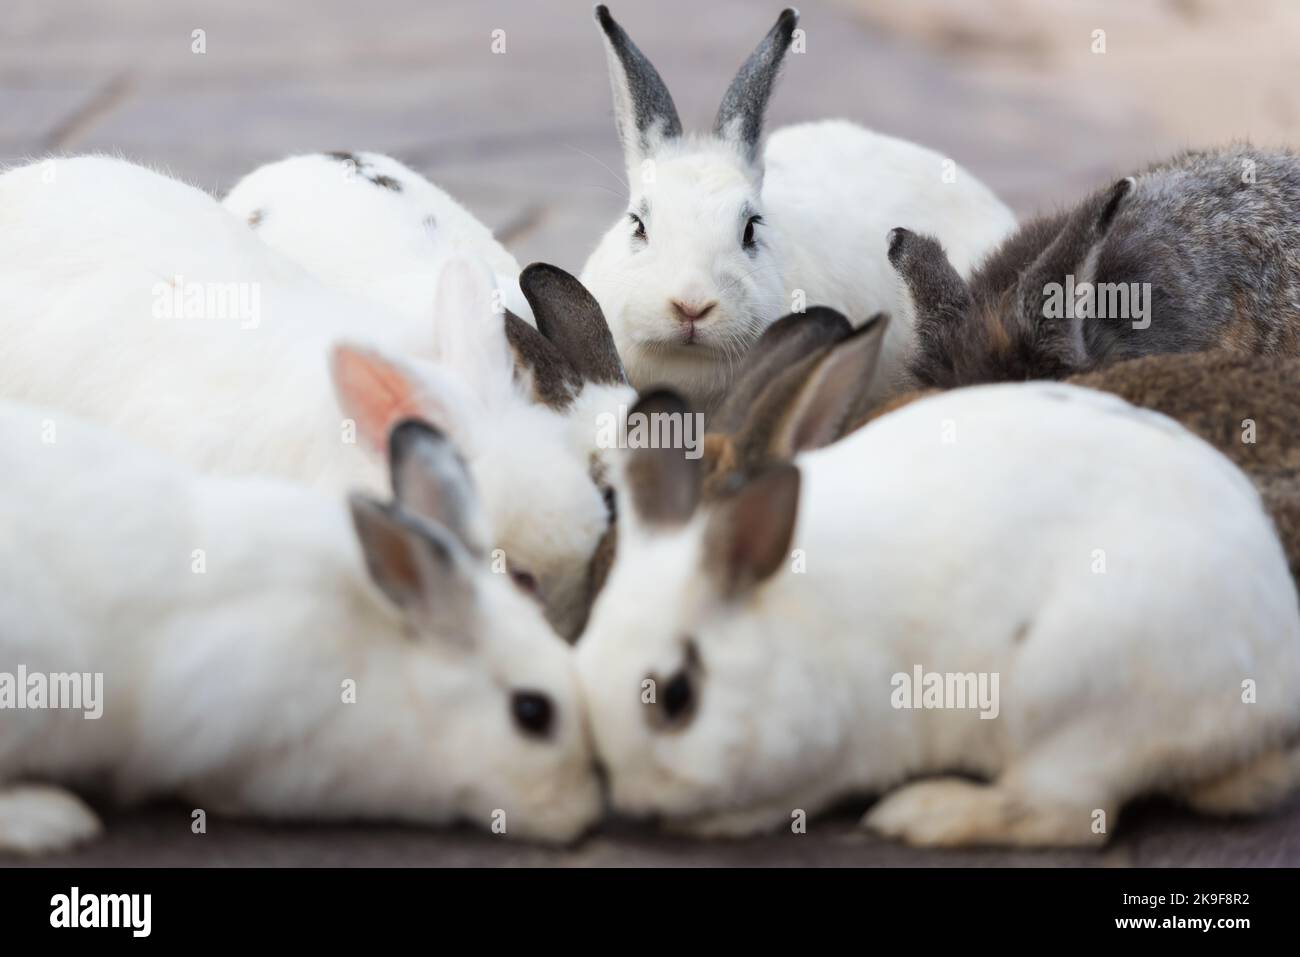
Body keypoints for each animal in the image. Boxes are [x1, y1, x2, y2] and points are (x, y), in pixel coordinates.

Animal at [576, 383, 1300, 845]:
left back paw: (922, 814)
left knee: (1067, 815)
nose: (632, 805)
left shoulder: (838, 754)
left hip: (1076, 702)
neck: (782, 626)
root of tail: (1271, 692)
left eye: (677, 696)